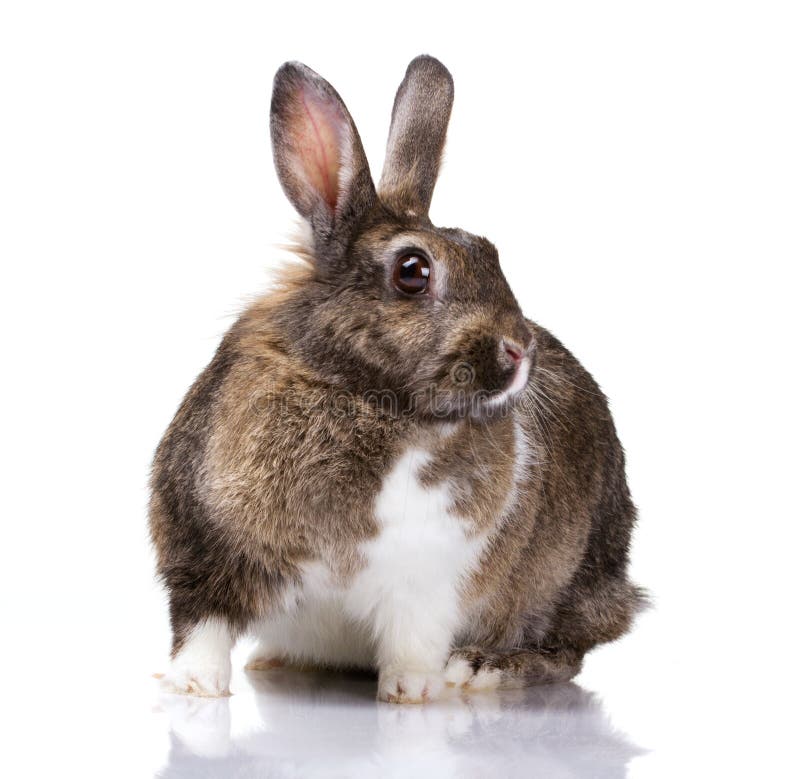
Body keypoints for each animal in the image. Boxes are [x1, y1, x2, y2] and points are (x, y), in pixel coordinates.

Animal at [149, 54, 646, 703]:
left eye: (490, 252)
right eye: (413, 271)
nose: (520, 350)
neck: (370, 397)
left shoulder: (429, 582)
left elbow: (413, 640)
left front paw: (411, 692)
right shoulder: (204, 546)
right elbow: (201, 625)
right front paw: (195, 686)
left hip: (570, 587)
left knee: (565, 651)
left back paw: (481, 670)